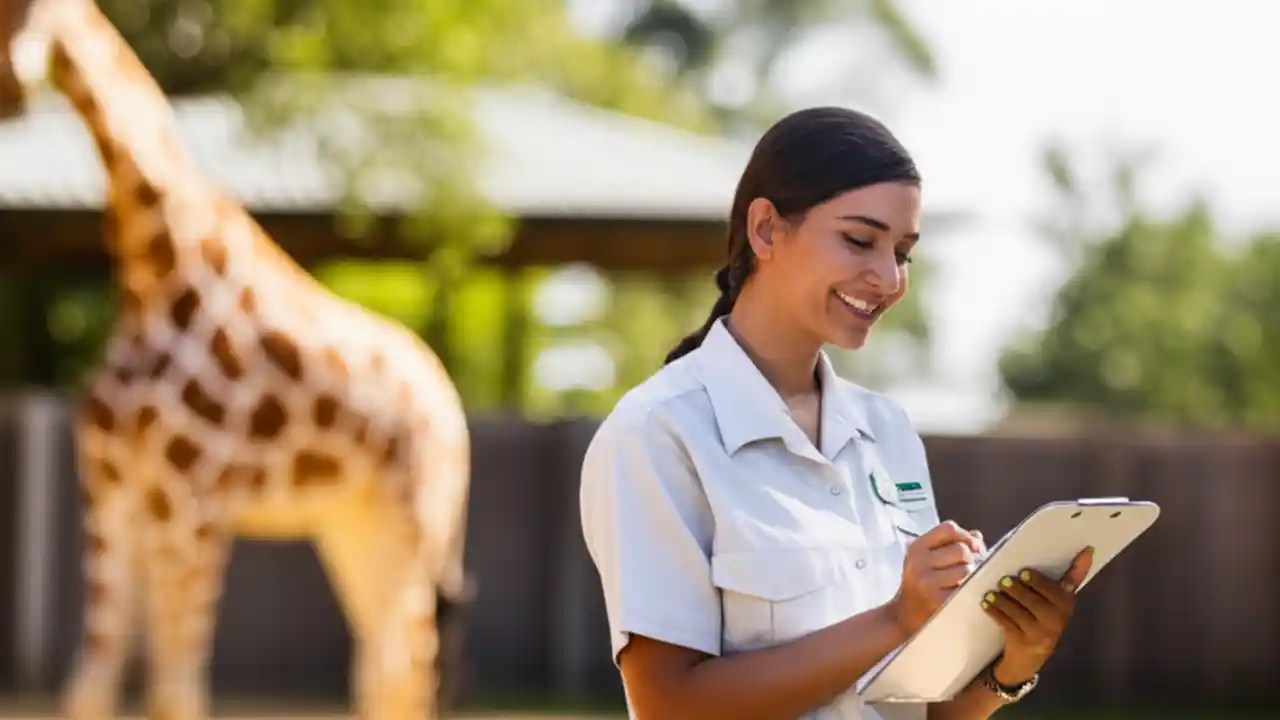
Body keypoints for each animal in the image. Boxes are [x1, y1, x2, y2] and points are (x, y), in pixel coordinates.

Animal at [1, 1, 474, 718]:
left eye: (39, 10)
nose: (10, 88)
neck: (154, 271)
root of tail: (447, 402)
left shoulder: (192, 504)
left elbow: (176, 685)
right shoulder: (113, 491)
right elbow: (92, 677)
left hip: (416, 517)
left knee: (405, 666)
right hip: (352, 523)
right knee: (382, 665)